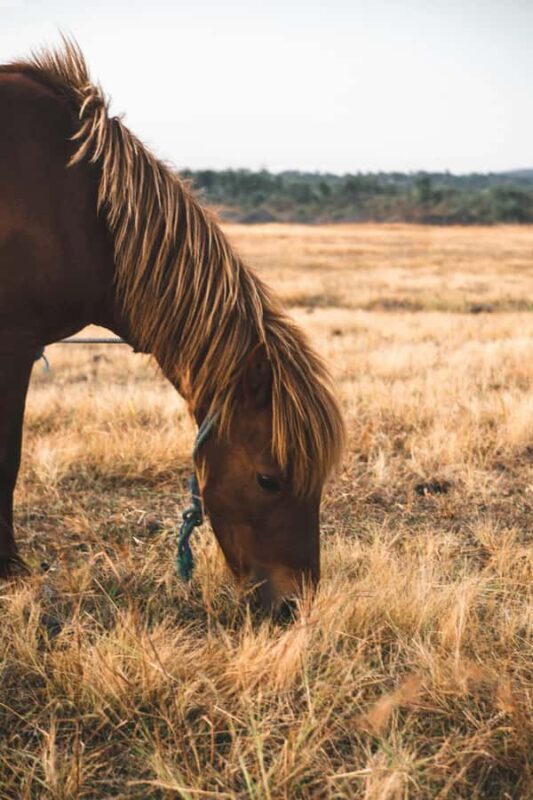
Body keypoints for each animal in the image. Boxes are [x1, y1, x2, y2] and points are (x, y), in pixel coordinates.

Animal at [0, 40, 345, 613]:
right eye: (268, 480)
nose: (294, 606)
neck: (86, 211)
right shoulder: (13, 347)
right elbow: (7, 460)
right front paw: (8, 567)